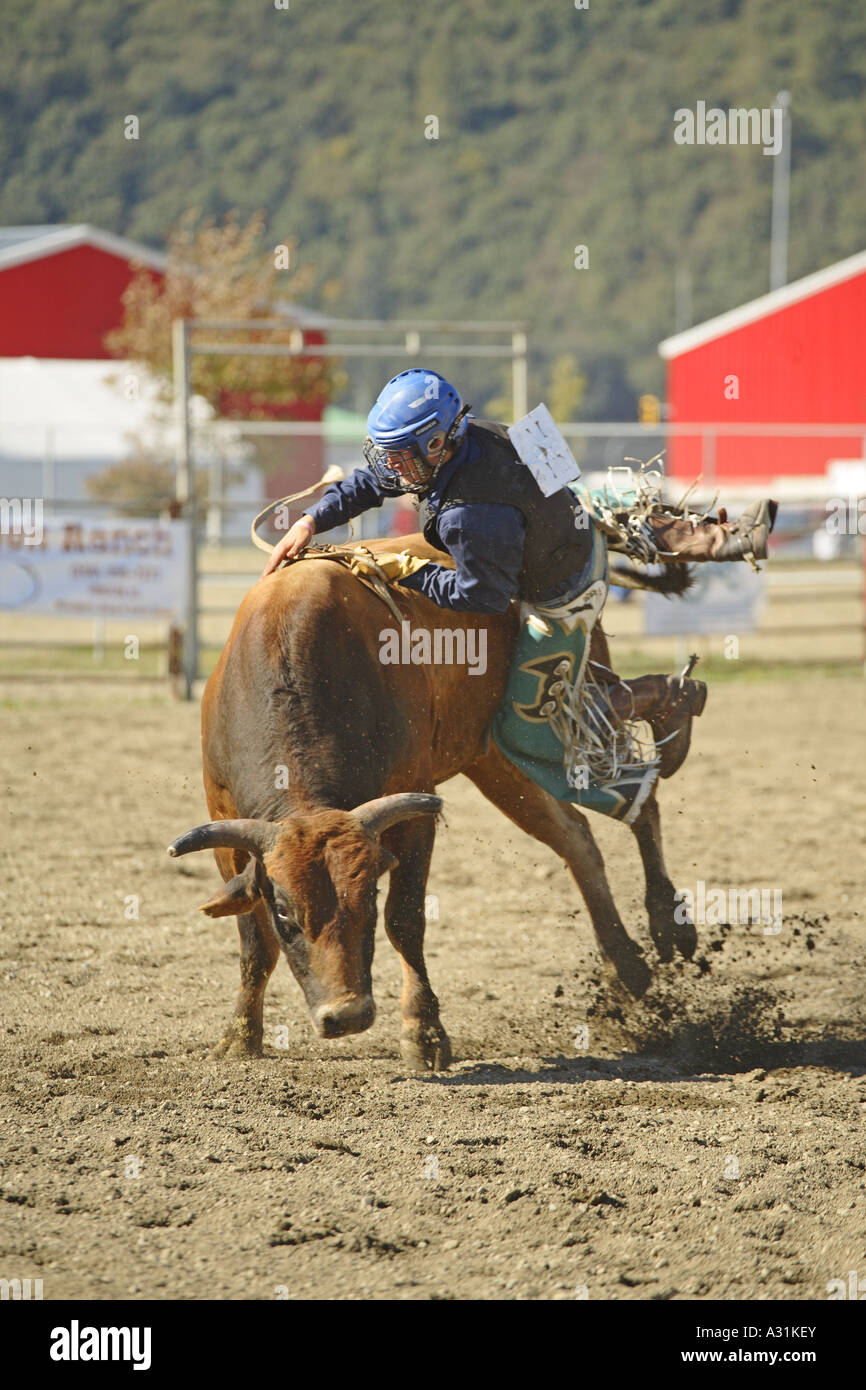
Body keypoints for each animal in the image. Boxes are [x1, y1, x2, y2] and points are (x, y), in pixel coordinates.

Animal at [168, 535, 695, 1070]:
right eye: (284, 911)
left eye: (368, 898)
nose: (348, 1015)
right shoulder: (225, 822)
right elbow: (254, 939)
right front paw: (239, 1036)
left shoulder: (413, 809)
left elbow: (405, 920)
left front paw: (423, 1033)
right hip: (500, 755)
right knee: (577, 838)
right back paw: (625, 967)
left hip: (570, 704)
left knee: (640, 791)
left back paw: (667, 915)